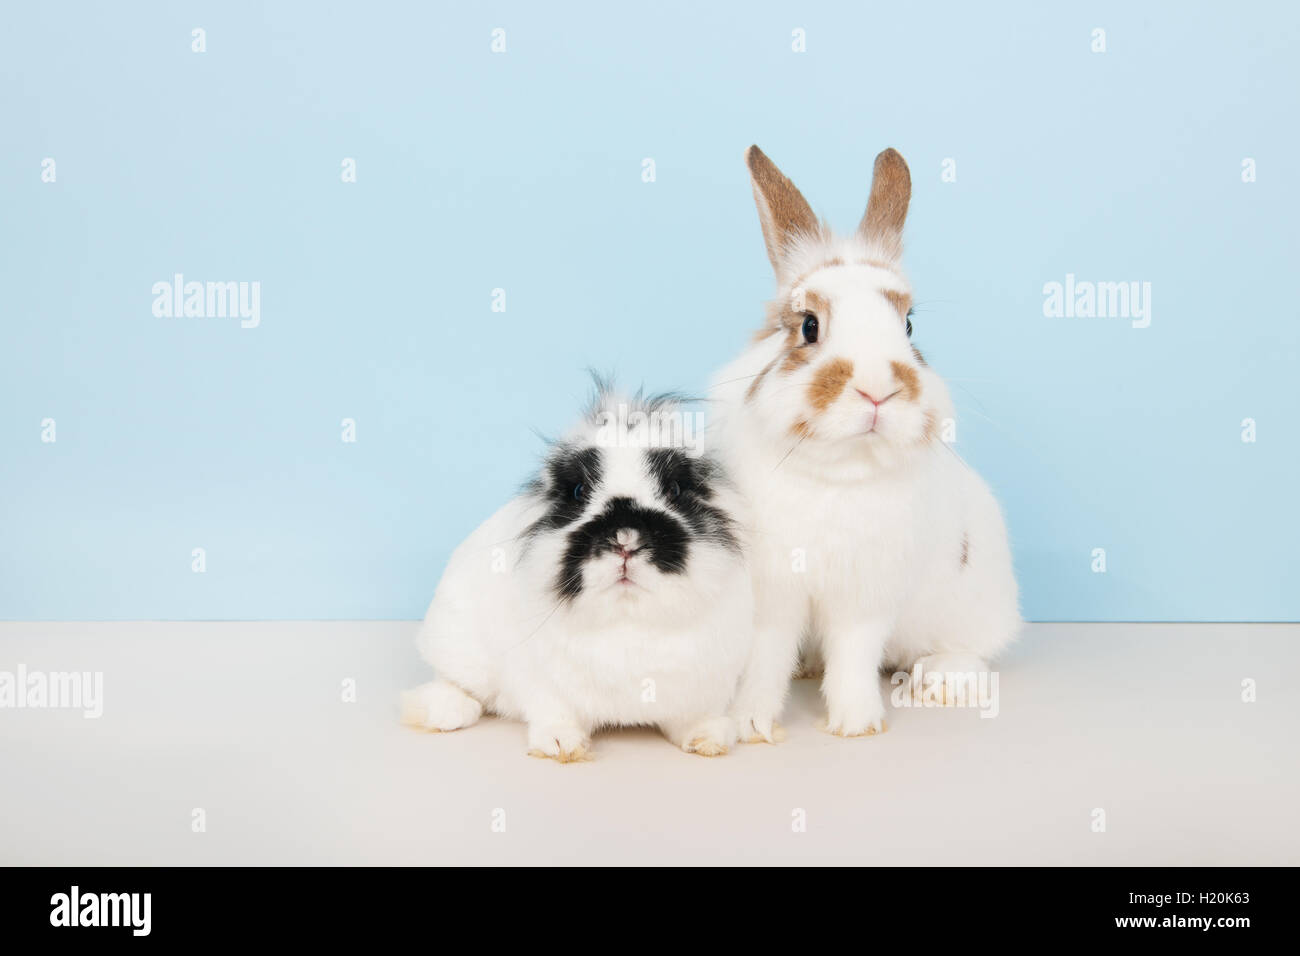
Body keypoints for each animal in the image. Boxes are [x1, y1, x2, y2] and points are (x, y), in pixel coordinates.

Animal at [401, 380, 753, 761]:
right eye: (578, 491)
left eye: (674, 490)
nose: (625, 540)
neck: (627, 618)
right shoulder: (543, 683)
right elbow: (556, 713)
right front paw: (561, 745)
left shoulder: (703, 686)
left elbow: (693, 718)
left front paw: (709, 739)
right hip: (457, 641)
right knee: (456, 682)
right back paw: (440, 712)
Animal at [710, 146, 1020, 743]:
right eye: (809, 326)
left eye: (909, 326)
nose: (879, 388)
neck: (839, 474)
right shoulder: (771, 593)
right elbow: (765, 657)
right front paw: (750, 723)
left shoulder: (866, 595)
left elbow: (854, 654)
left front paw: (856, 724)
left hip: (973, 594)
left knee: (977, 646)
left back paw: (943, 678)